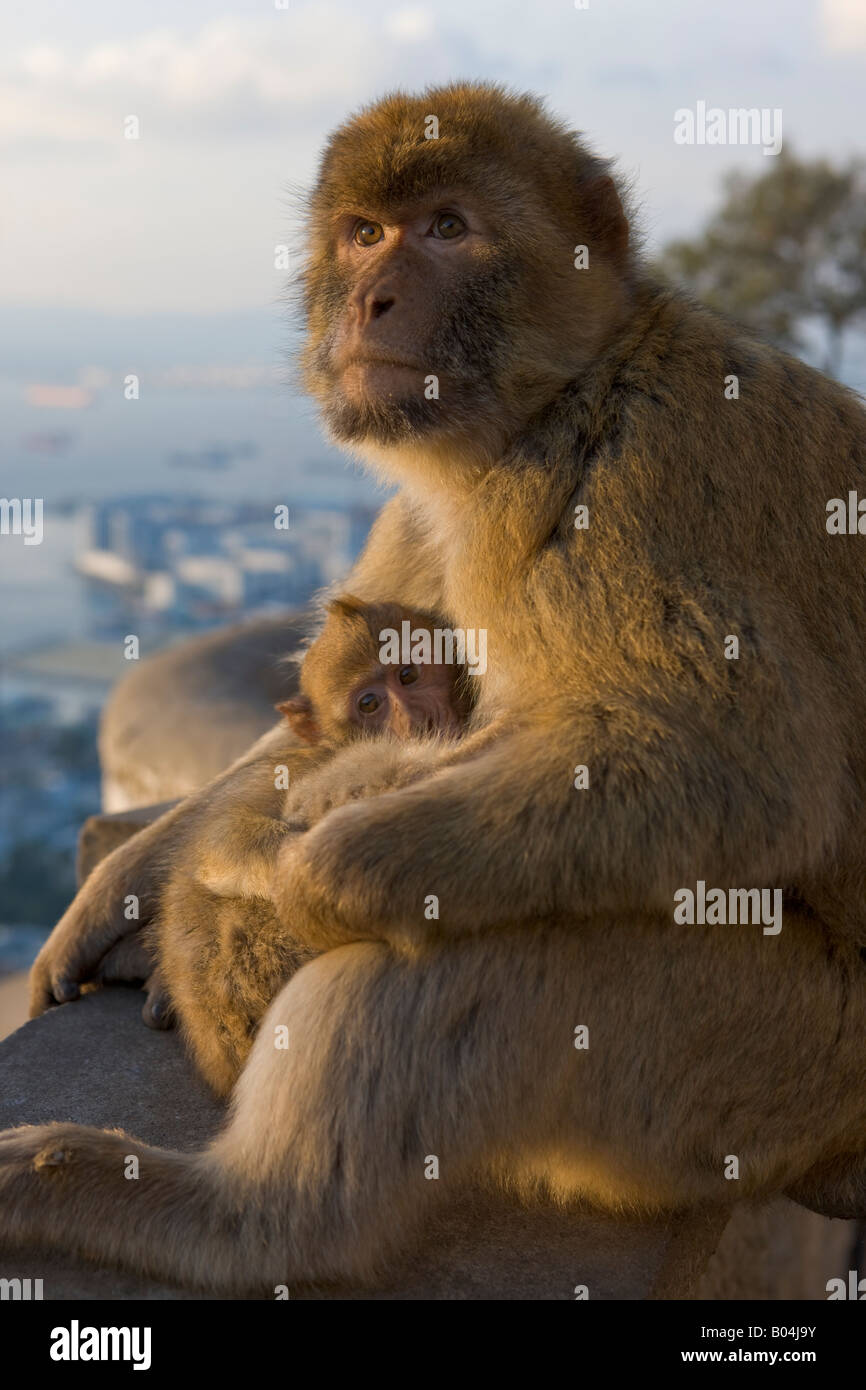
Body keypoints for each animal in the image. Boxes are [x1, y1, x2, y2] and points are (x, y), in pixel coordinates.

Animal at [6, 81, 866, 1296]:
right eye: (365, 231)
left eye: (448, 228)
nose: (373, 296)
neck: (543, 409)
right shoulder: (428, 508)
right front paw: (122, 891)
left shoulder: (637, 468)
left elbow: (738, 770)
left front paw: (307, 877)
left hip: (771, 1065)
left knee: (475, 932)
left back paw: (237, 1218)